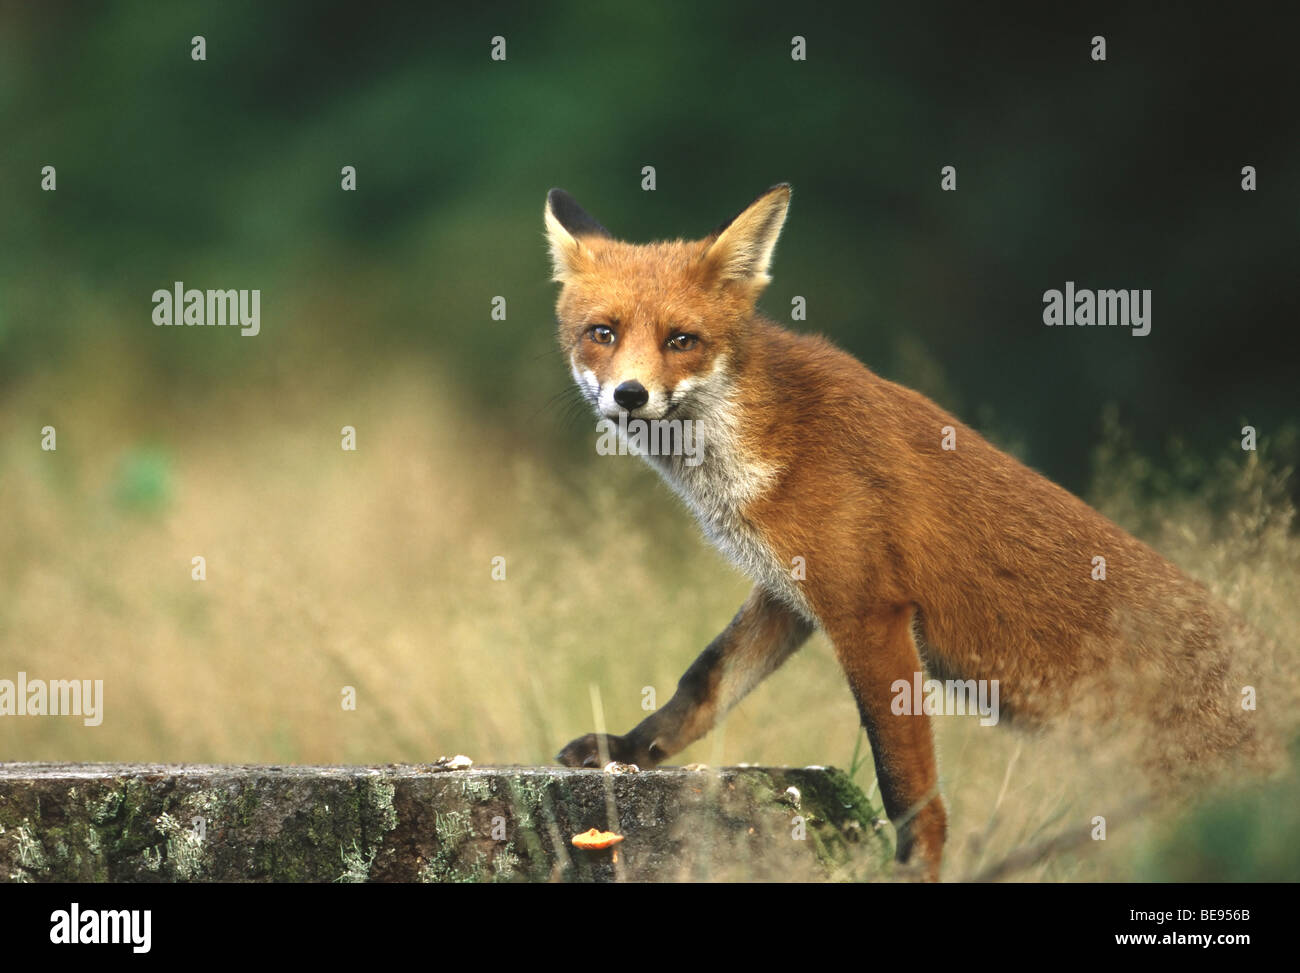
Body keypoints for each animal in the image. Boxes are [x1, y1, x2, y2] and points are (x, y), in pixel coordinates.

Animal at [547, 183, 1256, 880]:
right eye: (602, 333)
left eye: (681, 340)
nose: (630, 394)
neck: (763, 443)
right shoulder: (787, 594)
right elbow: (704, 681)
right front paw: (628, 749)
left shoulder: (870, 612)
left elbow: (905, 782)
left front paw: (917, 864)